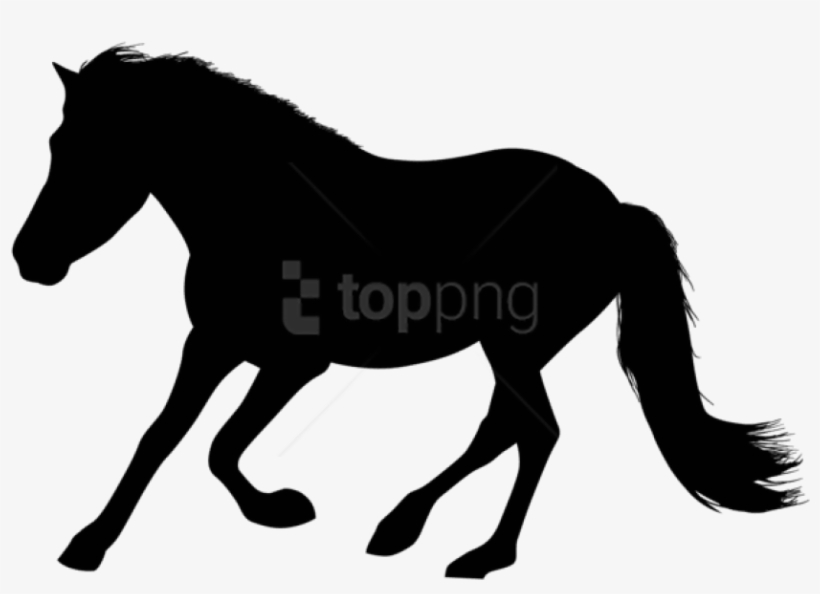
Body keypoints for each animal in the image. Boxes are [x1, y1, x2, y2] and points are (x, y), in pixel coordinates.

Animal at [12, 45, 802, 579]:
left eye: (98, 152)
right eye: (56, 144)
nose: (28, 260)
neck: (260, 209)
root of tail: (611, 209)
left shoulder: (294, 362)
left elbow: (218, 446)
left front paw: (278, 508)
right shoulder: (210, 343)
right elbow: (161, 436)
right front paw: (88, 544)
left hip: (518, 341)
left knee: (530, 431)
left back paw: (469, 551)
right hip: (516, 347)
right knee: (508, 429)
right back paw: (413, 529)